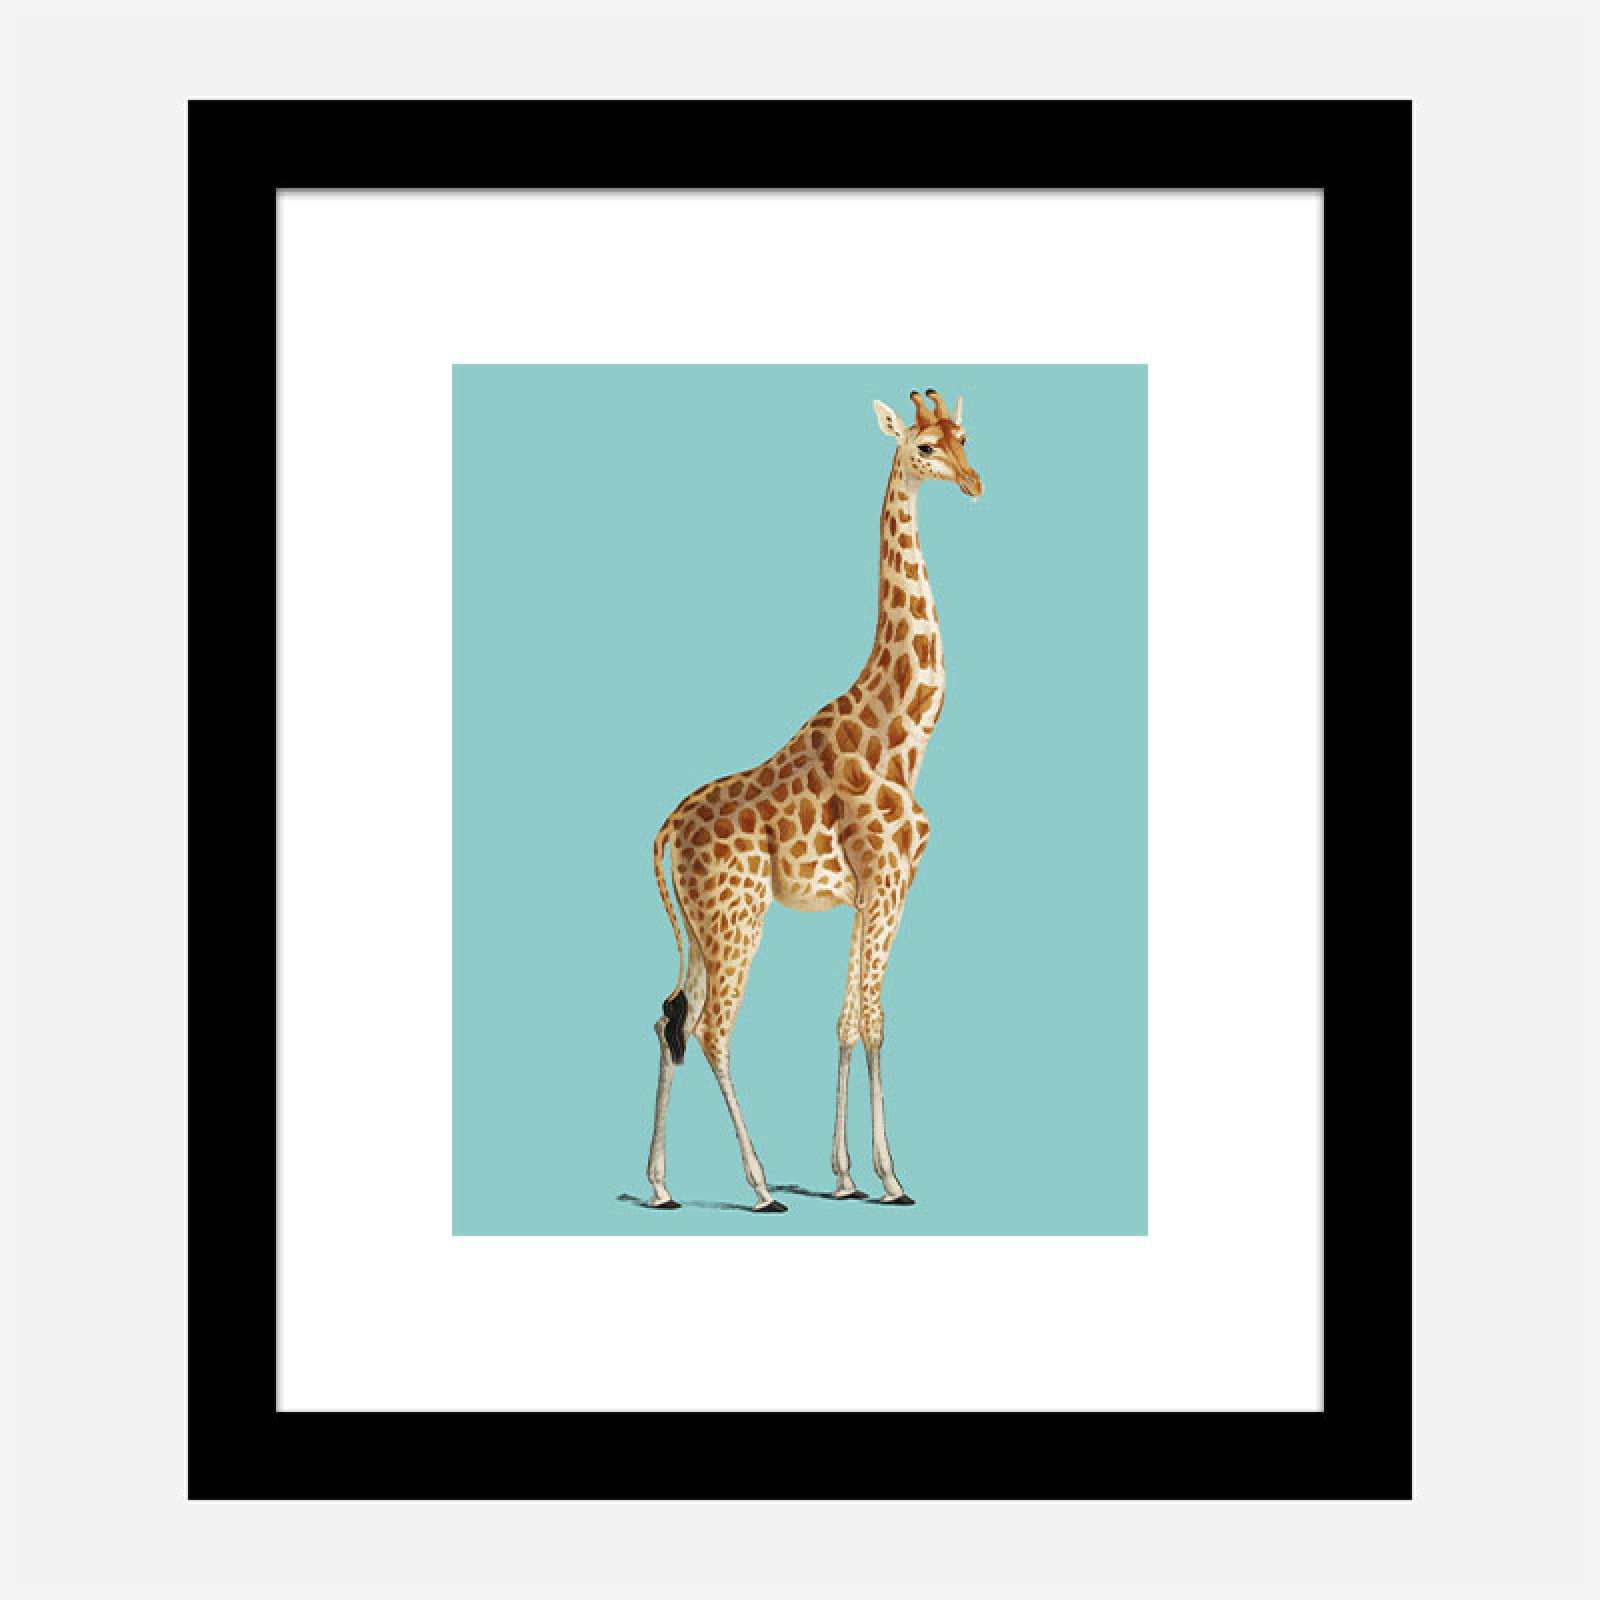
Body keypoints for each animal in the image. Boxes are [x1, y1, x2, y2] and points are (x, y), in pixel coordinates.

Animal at [646, 388, 983, 1212]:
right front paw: (891, 1178)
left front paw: (847, 1175)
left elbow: (847, 1019)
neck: (907, 734)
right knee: (712, 1029)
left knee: (671, 1016)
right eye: (924, 447)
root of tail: (668, 827)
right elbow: (875, 1019)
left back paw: (662, 1186)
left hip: (703, 927)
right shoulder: (889, 880)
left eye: (965, 436)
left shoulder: (871, 892)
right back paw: (762, 1186)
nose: (974, 483)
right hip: (737, 917)